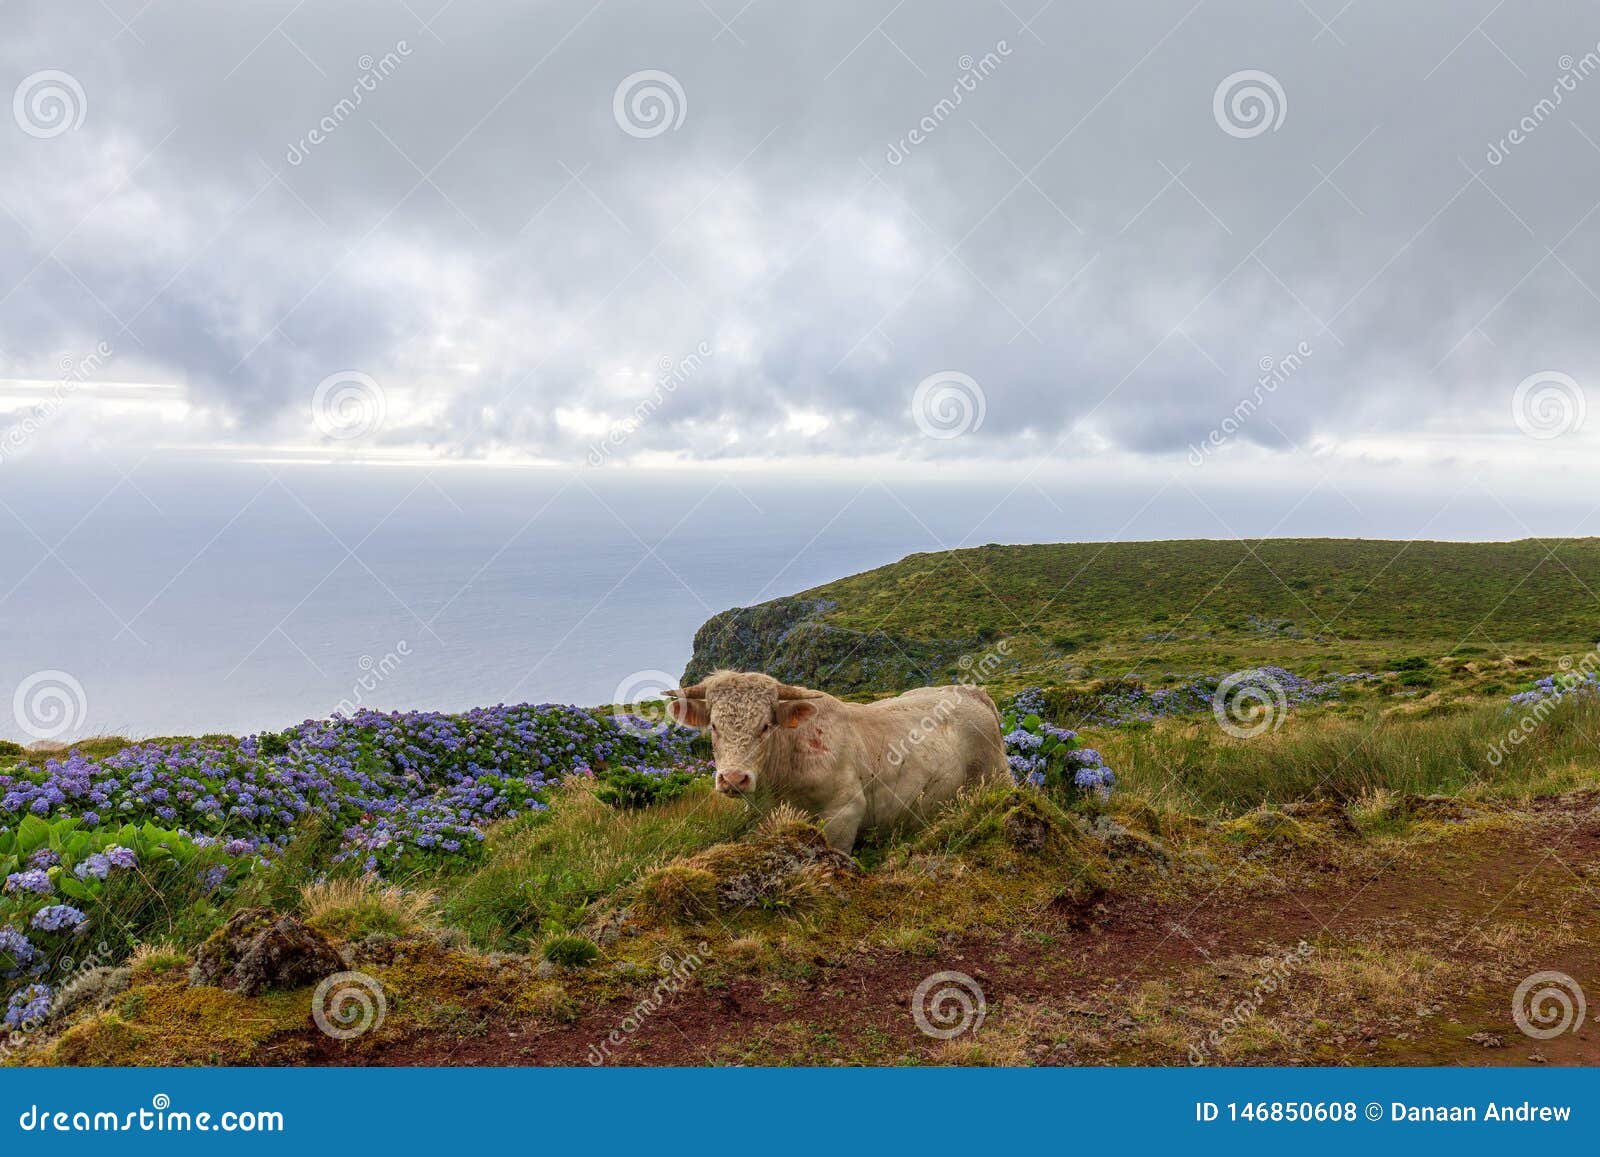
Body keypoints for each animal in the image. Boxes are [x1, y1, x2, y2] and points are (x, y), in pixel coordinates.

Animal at [663, 670, 1008, 852]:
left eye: (765, 726)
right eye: (714, 726)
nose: (734, 778)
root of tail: (971, 692)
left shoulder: (844, 813)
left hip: (995, 777)